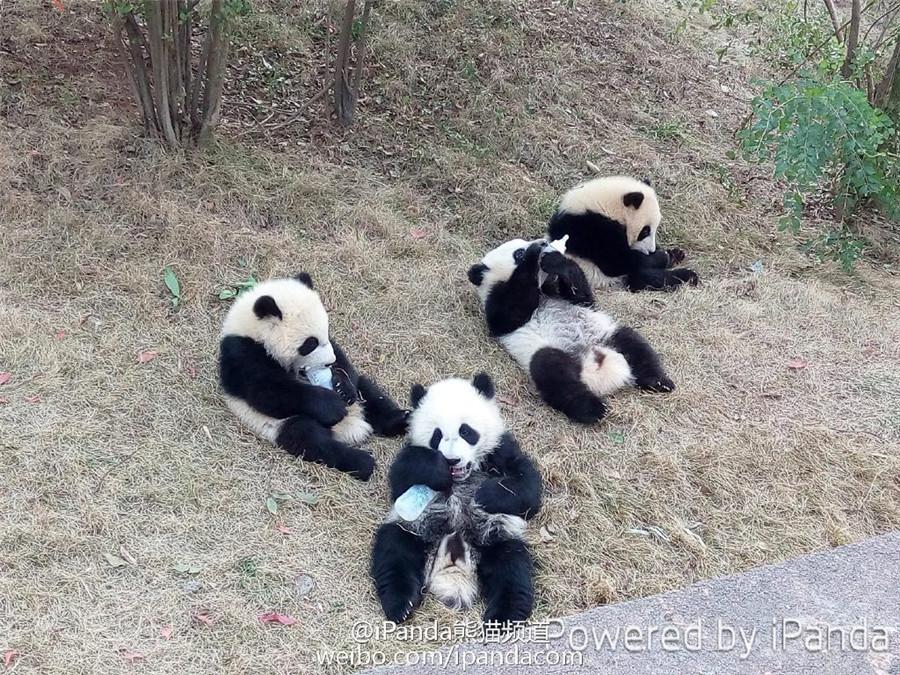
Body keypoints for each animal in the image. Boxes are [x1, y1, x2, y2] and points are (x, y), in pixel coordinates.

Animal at [219, 274, 409, 481]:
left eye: (326, 332)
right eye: (310, 343)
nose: (328, 363)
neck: (253, 332)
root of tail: (350, 428)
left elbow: (342, 359)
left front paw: (342, 386)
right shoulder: (242, 354)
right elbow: (267, 392)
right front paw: (332, 406)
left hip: (360, 399)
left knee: (368, 391)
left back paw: (401, 419)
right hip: (276, 424)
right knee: (310, 439)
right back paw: (362, 462)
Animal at [370, 373, 542, 624]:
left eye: (466, 431)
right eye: (437, 435)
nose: (452, 460)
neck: (461, 478)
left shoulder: (500, 449)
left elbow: (529, 488)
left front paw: (485, 495)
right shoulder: (409, 456)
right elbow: (401, 477)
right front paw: (437, 471)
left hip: (497, 535)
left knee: (511, 569)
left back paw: (504, 617)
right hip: (413, 527)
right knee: (395, 551)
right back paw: (401, 604)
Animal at [468, 239, 674, 424]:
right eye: (518, 253)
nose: (543, 243)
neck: (542, 289)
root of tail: (596, 365)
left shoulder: (565, 295)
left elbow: (582, 295)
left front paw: (556, 259)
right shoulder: (496, 305)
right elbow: (512, 312)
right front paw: (535, 256)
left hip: (606, 334)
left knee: (635, 345)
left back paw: (659, 382)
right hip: (547, 352)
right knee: (556, 376)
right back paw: (594, 409)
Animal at [547, 175, 700, 292]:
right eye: (645, 231)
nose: (651, 251)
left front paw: (669, 254)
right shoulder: (591, 229)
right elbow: (616, 261)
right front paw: (663, 256)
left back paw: (677, 257)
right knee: (642, 278)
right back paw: (688, 276)